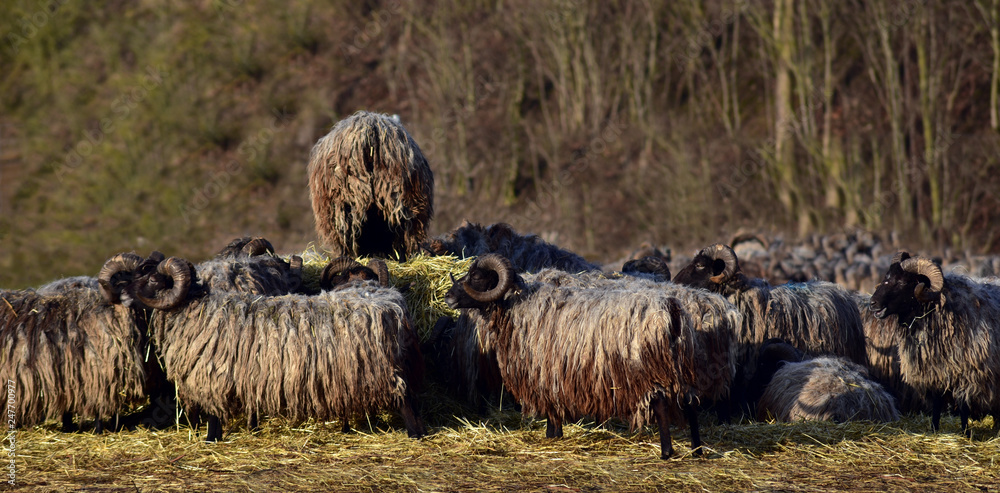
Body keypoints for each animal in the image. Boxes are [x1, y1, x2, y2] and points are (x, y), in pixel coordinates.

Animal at [119, 255, 426, 442]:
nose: (119, 292)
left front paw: (211, 440)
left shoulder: (213, 378)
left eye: (152, 281)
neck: (194, 309)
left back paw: (415, 434)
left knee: (404, 400)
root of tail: (392, 301)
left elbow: (214, 418)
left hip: (382, 368)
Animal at [445, 253, 740, 459]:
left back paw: (667, 452)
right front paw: (555, 436)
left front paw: (553, 436)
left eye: (477, 277)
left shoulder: (545, 370)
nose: (448, 297)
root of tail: (673, 309)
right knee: (689, 403)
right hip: (684, 365)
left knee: (660, 404)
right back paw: (697, 450)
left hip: (651, 367)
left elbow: (552, 408)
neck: (517, 307)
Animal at [869, 252, 1000, 435]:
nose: (873, 303)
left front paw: (965, 434)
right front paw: (934, 430)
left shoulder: (966, 374)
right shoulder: (934, 373)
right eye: (886, 277)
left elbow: (963, 407)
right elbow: (937, 406)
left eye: (902, 282)